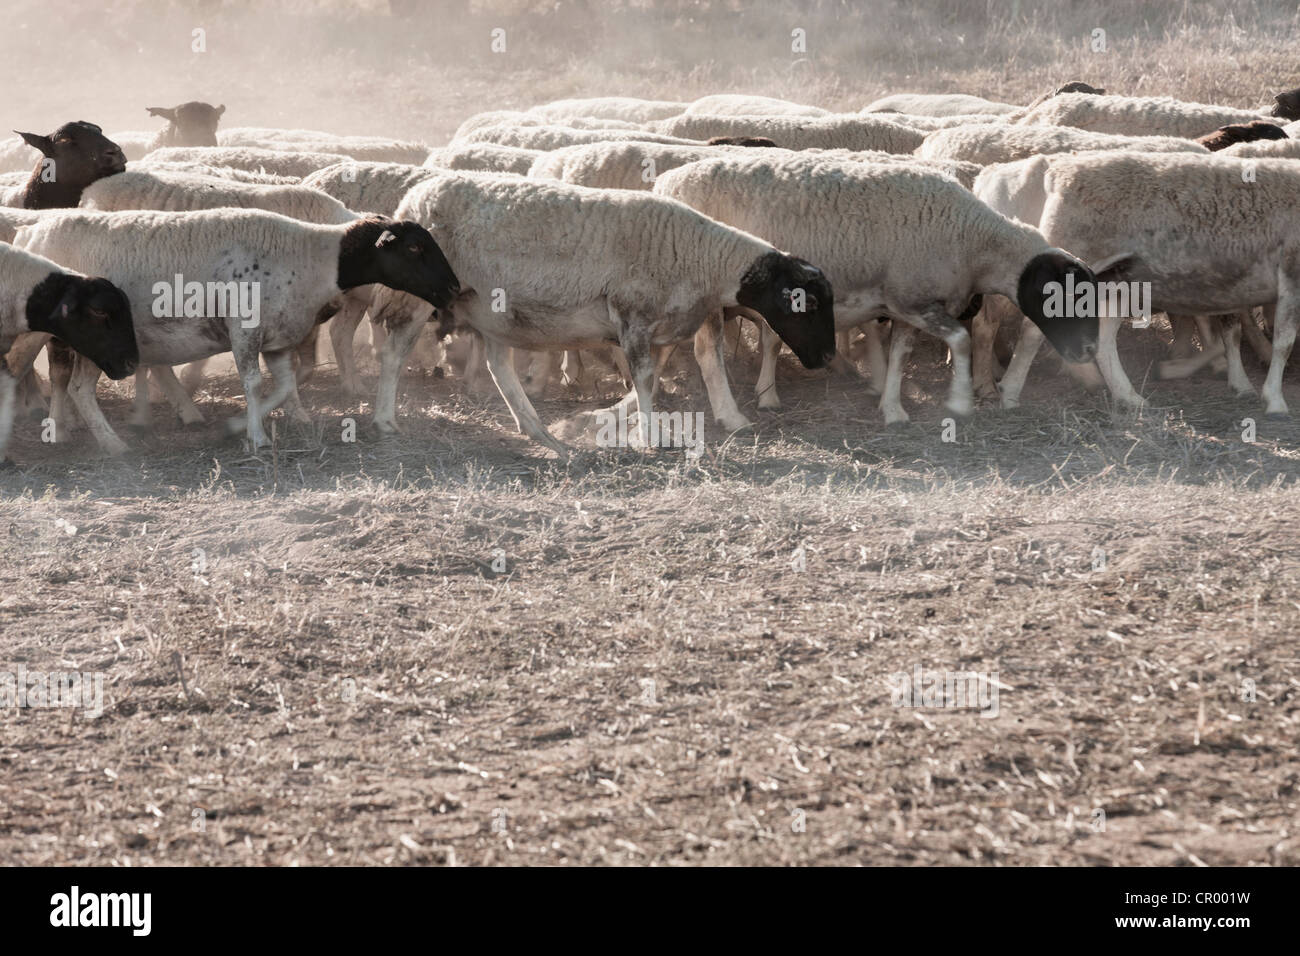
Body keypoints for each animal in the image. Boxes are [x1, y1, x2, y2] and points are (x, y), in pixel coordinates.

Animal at [14, 209, 460, 452]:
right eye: (415, 248)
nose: (455, 288)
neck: (313, 258)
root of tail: (33, 231)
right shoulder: (245, 329)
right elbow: (252, 383)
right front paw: (256, 437)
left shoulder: (277, 337)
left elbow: (284, 385)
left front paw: (236, 427)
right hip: (88, 340)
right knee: (70, 385)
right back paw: (110, 444)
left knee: (66, 380)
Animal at [365, 169, 837, 455]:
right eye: (808, 303)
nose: (828, 357)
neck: (701, 257)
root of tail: (414, 197)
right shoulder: (634, 318)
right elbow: (645, 381)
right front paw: (648, 436)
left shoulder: (658, 328)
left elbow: (652, 379)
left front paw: (598, 420)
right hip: (418, 296)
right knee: (393, 353)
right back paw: (385, 420)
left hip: (491, 311)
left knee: (499, 366)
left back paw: (538, 431)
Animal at [652, 154, 1100, 424]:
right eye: (1062, 297)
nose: (1088, 351)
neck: (973, 240)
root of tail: (666, 184)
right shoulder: (915, 301)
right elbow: (961, 339)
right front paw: (959, 402)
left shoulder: (905, 306)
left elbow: (901, 355)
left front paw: (893, 409)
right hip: (710, 294)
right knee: (707, 352)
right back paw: (731, 417)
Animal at [1024, 151, 1300, 415]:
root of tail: (1061, 171)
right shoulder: (1291, 275)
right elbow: (1283, 342)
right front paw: (1274, 400)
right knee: (1032, 329)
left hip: (1116, 283)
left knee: (1103, 341)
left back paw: (1129, 398)